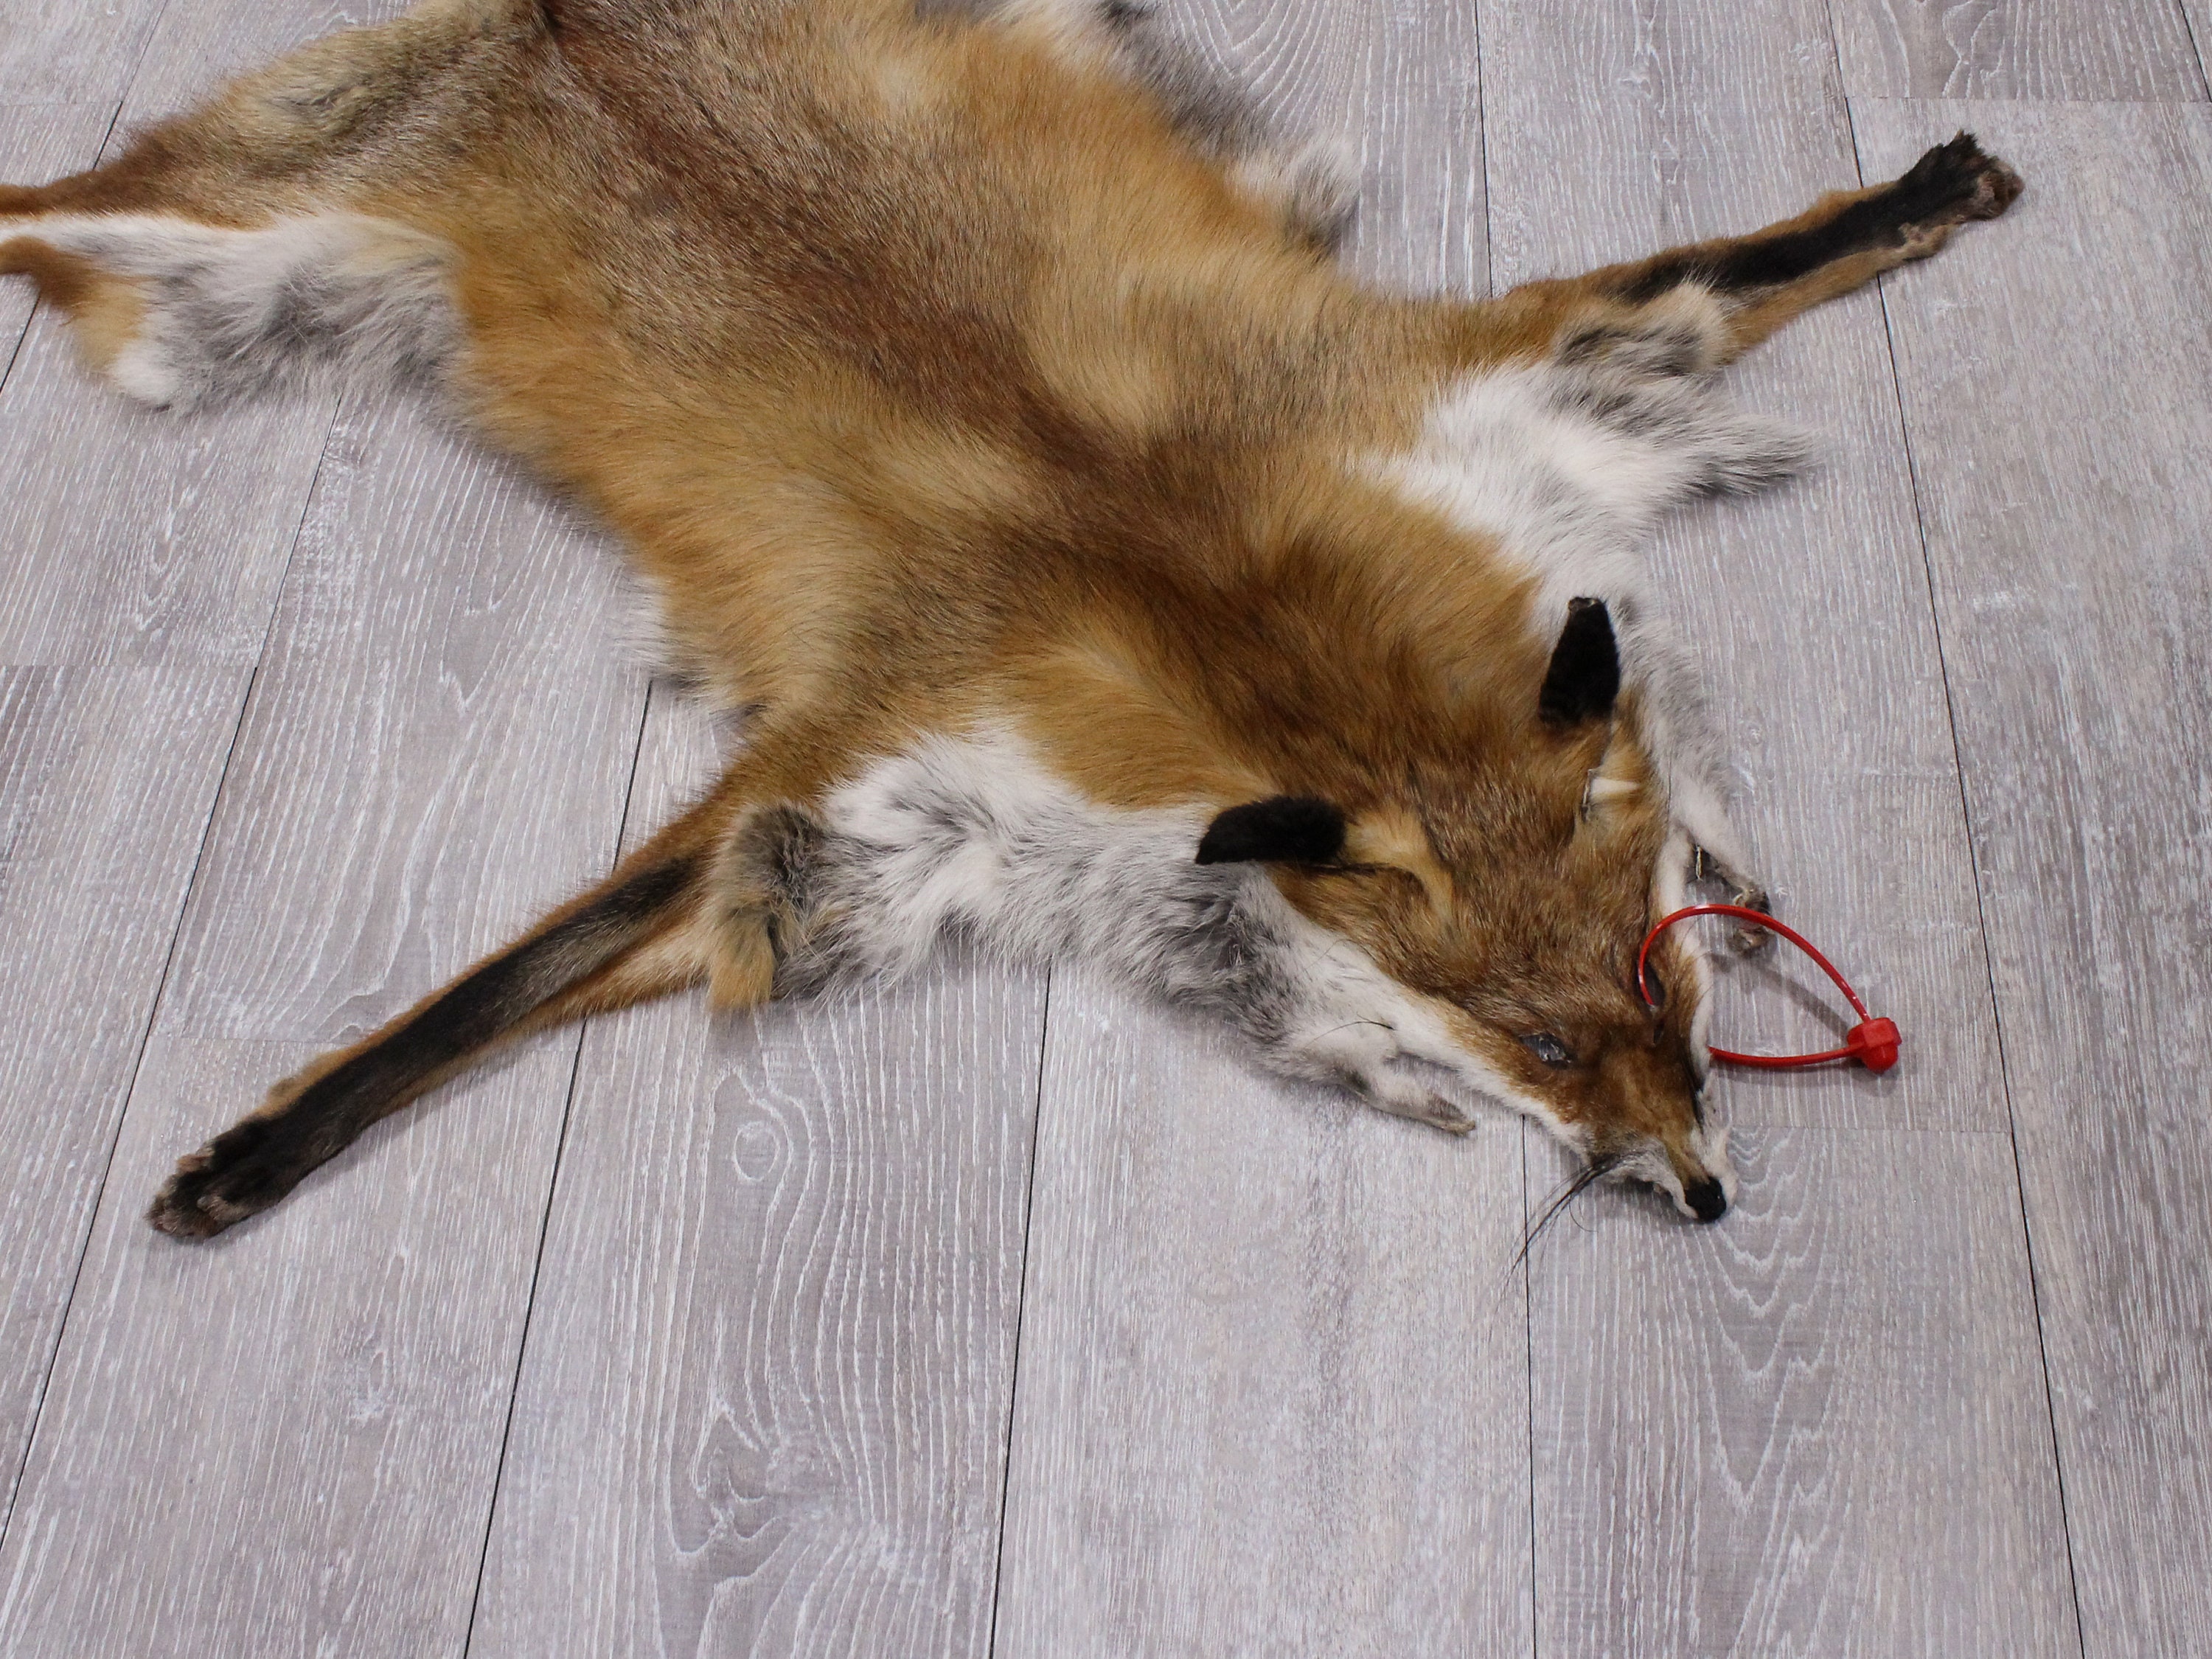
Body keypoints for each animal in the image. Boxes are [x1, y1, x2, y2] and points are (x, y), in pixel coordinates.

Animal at [0, 0, 2019, 1239]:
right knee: (43, 199)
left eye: (1661, 980)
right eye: (1526, 1048)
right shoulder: (842, 754)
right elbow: (490, 987)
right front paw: (251, 1158)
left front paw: (1926, 190)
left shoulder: (1435, 395)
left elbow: (1717, 269)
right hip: (208, 235)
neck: (1188, 566)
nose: (1702, 1193)